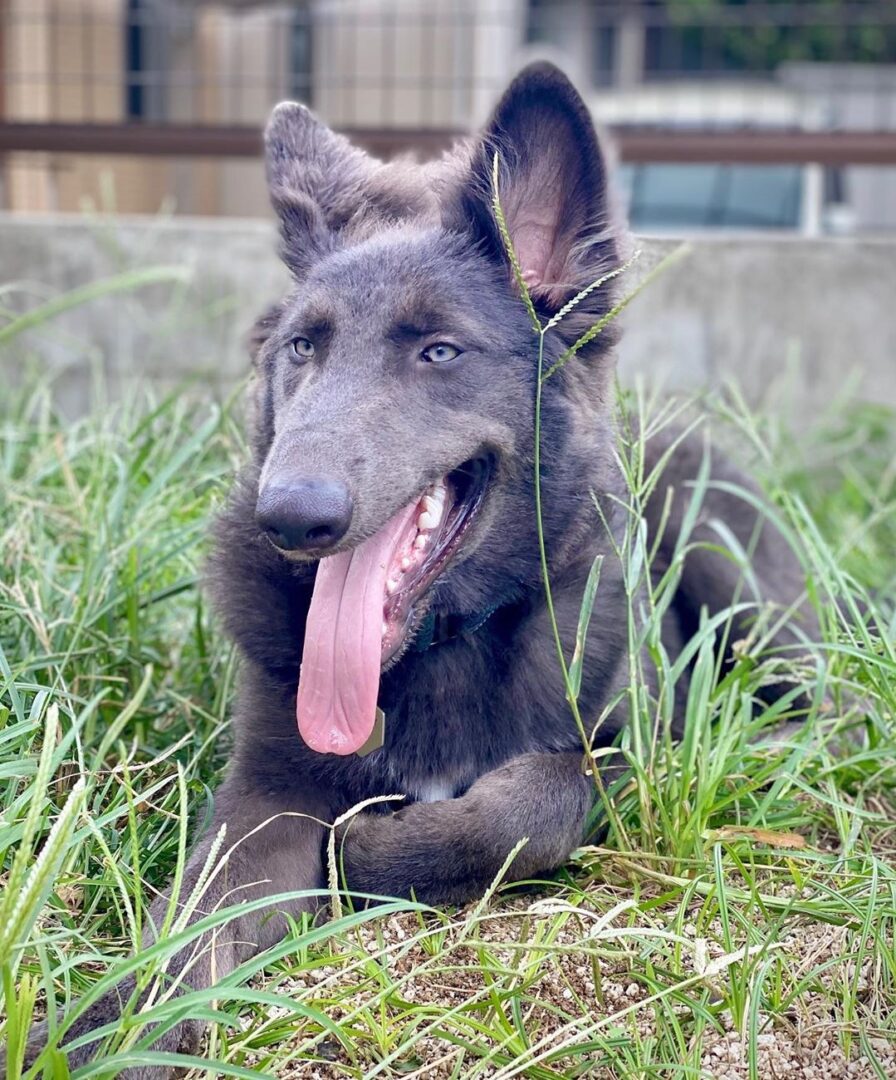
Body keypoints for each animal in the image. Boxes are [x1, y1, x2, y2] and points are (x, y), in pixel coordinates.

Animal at [19, 62, 812, 1075]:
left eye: (439, 350)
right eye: (303, 348)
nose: (289, 516)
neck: (442, 643)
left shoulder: (633, 751)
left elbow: (532, 803)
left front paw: (374, 852)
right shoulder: (266, 794)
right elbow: (190, 924)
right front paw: (108, 1030)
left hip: (729, 562)